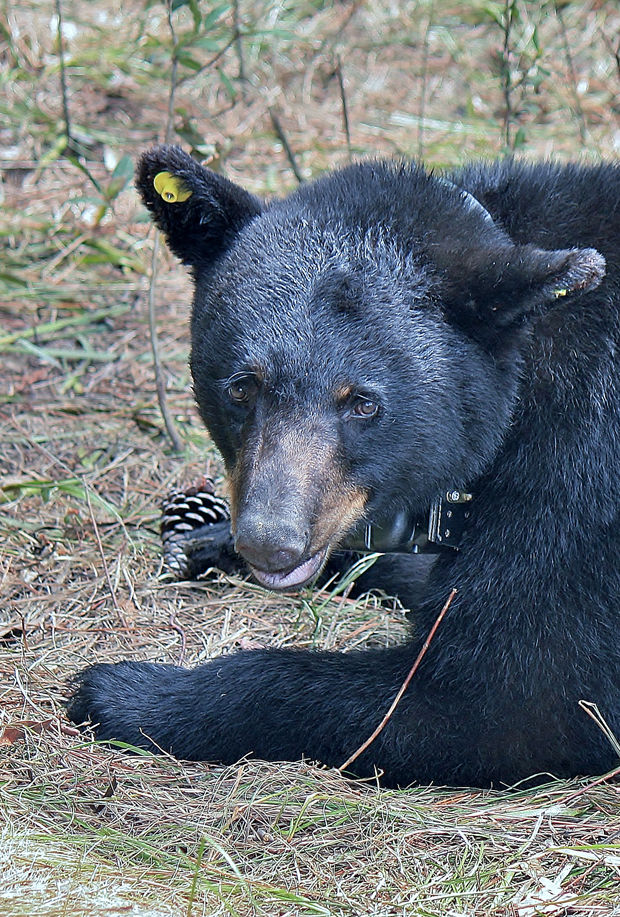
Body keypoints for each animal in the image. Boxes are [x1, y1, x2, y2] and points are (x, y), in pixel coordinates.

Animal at [67, 146, 620, 788]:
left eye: (363, 403)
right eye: (241, 387)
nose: (269, 543)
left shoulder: (579, 479)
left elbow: (514, 701)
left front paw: (128, 692)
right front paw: (205, 538)